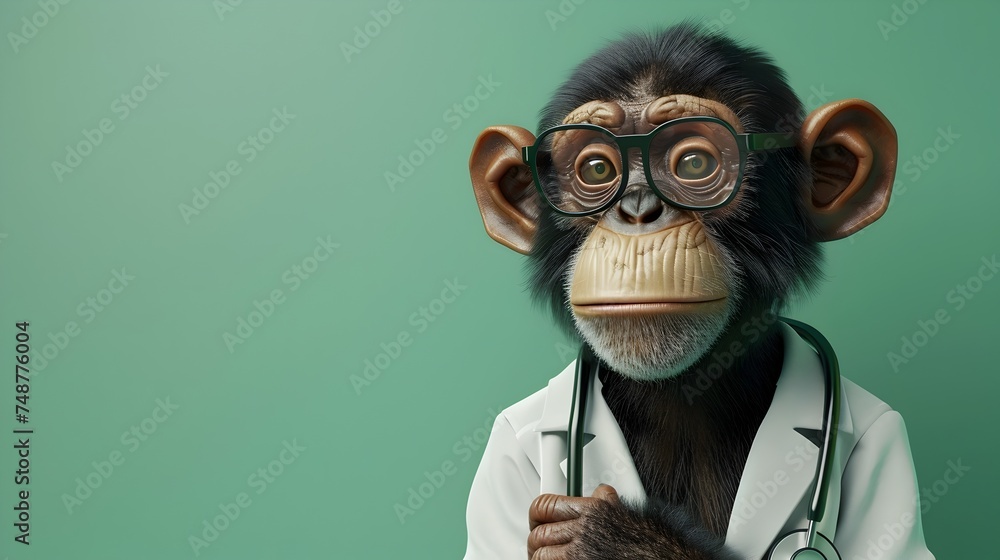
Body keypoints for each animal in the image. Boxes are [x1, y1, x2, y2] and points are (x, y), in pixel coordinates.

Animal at [463, 24, 933, 560]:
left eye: (693, 162)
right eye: (597, 170)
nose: (638, 209)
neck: (684, 390)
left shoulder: (888, 431)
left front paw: (610, 537)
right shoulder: (501, 449)